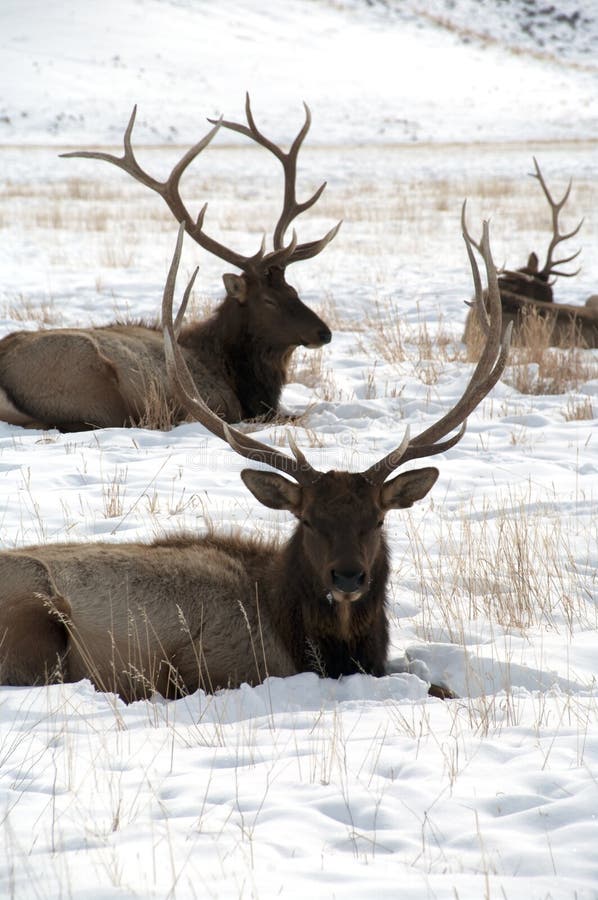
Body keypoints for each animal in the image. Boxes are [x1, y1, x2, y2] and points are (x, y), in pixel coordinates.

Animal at [0, 96, 340, 432]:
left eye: (293, 290)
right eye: (269, 300)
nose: (324, 332)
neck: (236, 375)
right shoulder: (221, 405)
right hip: (95, 394)